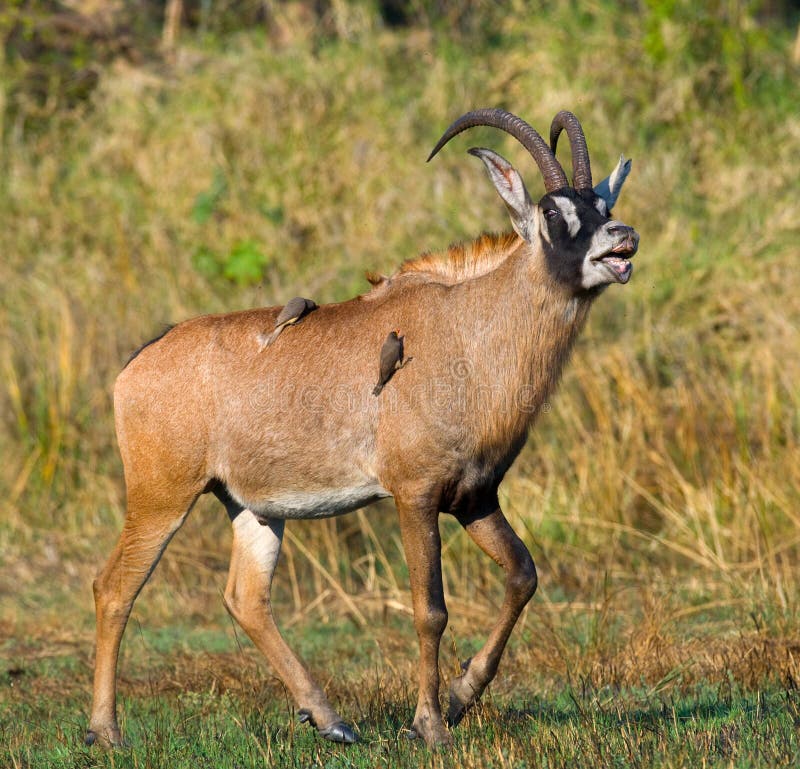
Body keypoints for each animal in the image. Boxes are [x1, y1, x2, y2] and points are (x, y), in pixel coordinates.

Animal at [86, 108, 638, 749]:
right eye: (553, 213)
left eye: (602, 203)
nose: (623, 238)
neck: (470, 331)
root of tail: (137, 363)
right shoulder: (415, 495)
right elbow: (431, 609)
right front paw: (430, 725)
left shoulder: (474, 497)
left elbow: (523, 575)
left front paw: (459, 697)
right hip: (161, 496)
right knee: (115, 587)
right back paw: (106, 731)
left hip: (251, 507)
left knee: (246, 598)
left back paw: (330, 719)